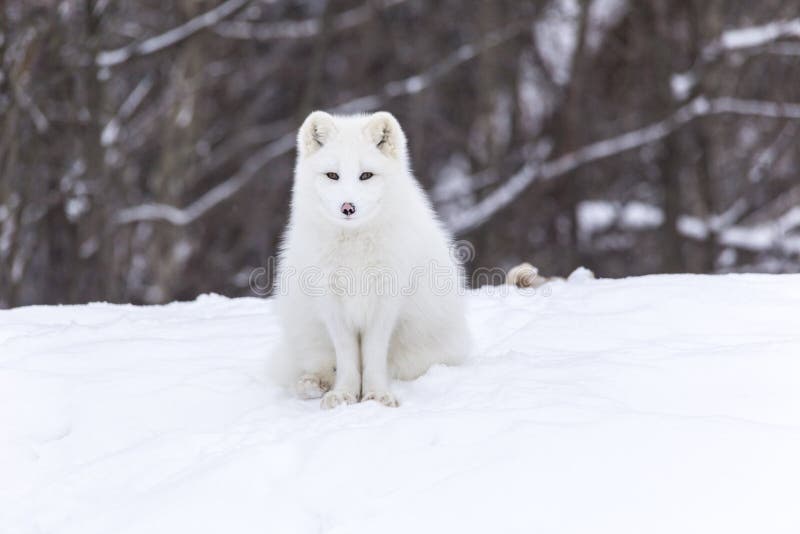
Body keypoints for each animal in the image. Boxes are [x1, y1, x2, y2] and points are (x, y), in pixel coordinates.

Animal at [270, 110, 470, 408]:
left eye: (366, 175)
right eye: (332, 175)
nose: (348, 207)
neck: (355, 252)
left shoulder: (386, 300)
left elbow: (373, 355)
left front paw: (376, 395)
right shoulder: (330, 302)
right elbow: (347, 356)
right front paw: (344, 394)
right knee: (318, 366)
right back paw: (313, 384)